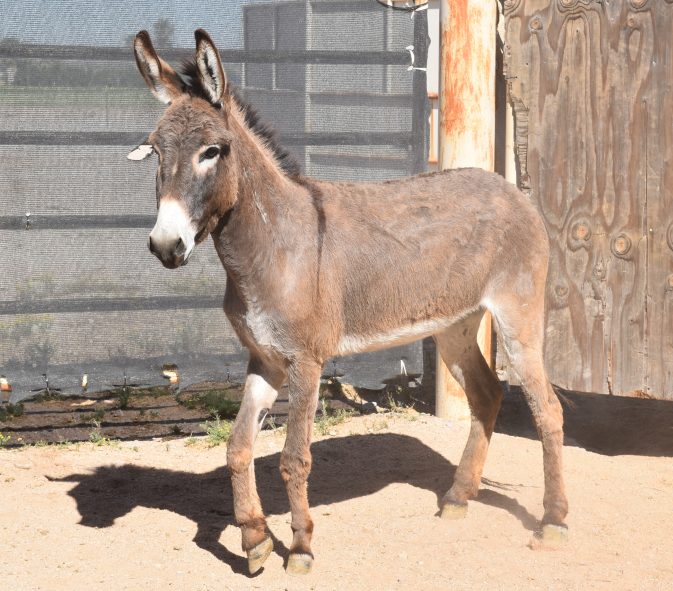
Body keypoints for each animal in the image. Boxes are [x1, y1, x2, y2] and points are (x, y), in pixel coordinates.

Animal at [132, 29, 568, 576]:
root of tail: (509, 186)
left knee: (547, 409)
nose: (165, 246)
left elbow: (294, 458)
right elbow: (237, 448)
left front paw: (300, 547)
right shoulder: (263, 359)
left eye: (212, 151)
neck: (272, 245)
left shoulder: (306, 362)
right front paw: (254, 539)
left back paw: (553, 523)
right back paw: (457, 498)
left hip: (517, 316)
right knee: (487, 394)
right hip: (454, 324)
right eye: (155, 152)